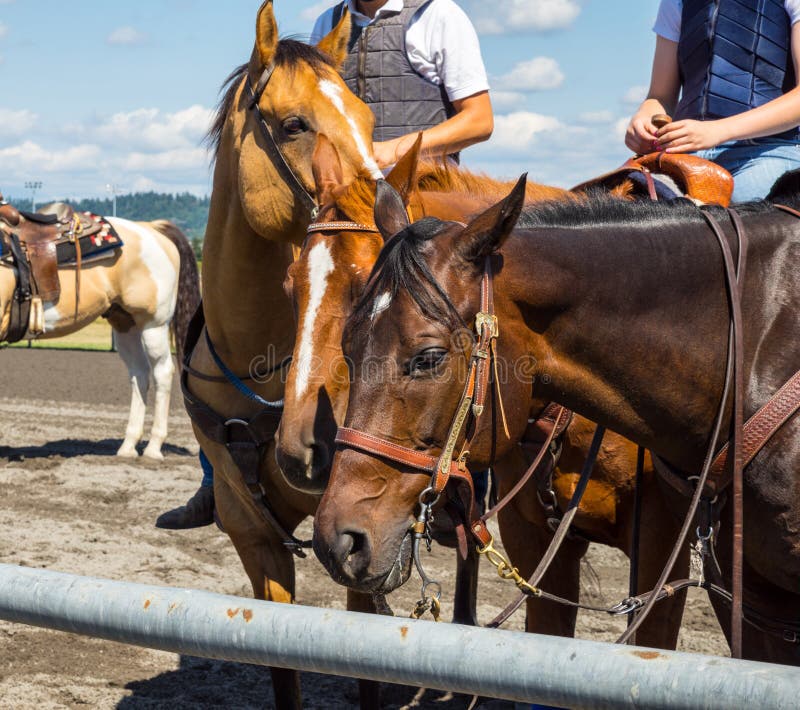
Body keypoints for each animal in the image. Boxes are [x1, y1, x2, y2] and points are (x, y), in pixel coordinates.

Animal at [0, 196, 199, 461]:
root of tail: (151, 228)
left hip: (153, 324)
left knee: (162, 372)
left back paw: (153, 448)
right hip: (125, 325)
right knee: (140, 373)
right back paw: (128, 446)